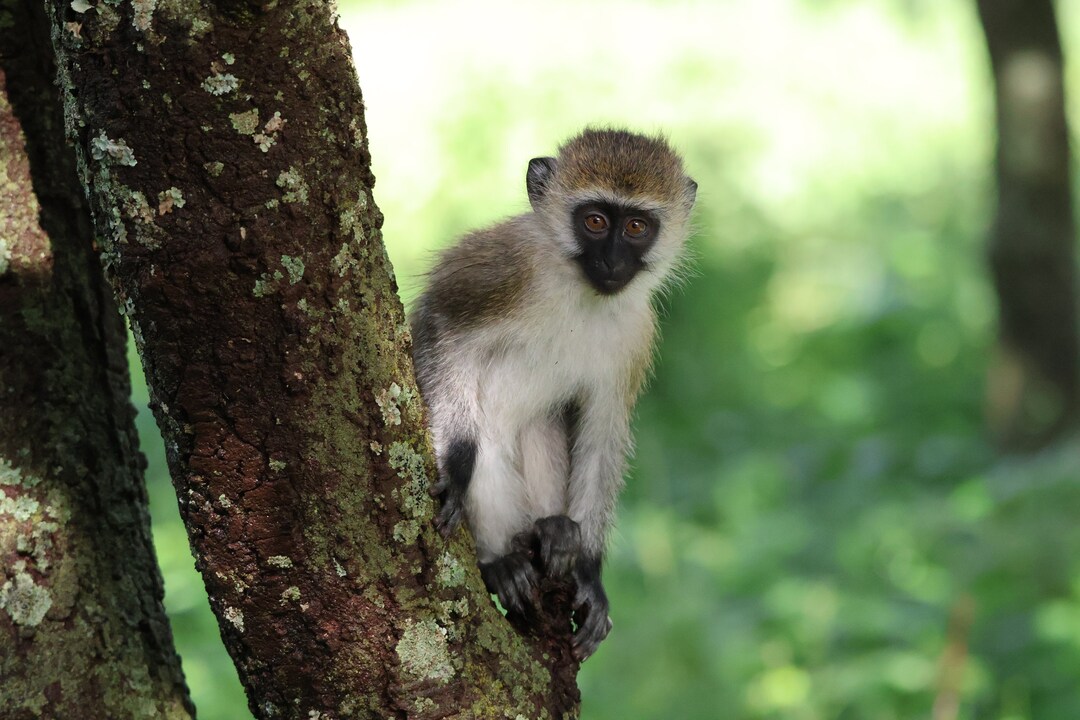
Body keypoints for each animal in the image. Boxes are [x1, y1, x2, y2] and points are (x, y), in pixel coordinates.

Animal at [410, 128, 696, 660]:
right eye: (595, 221)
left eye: (637, 227)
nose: (612, 261)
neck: (578, 292)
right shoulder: (503, 270)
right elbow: (440, 325)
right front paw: (456, 467)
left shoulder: (635, 333)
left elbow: (602, 432)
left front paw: (589, 572)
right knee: (488, 442)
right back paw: (499, 561)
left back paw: (556, 533)